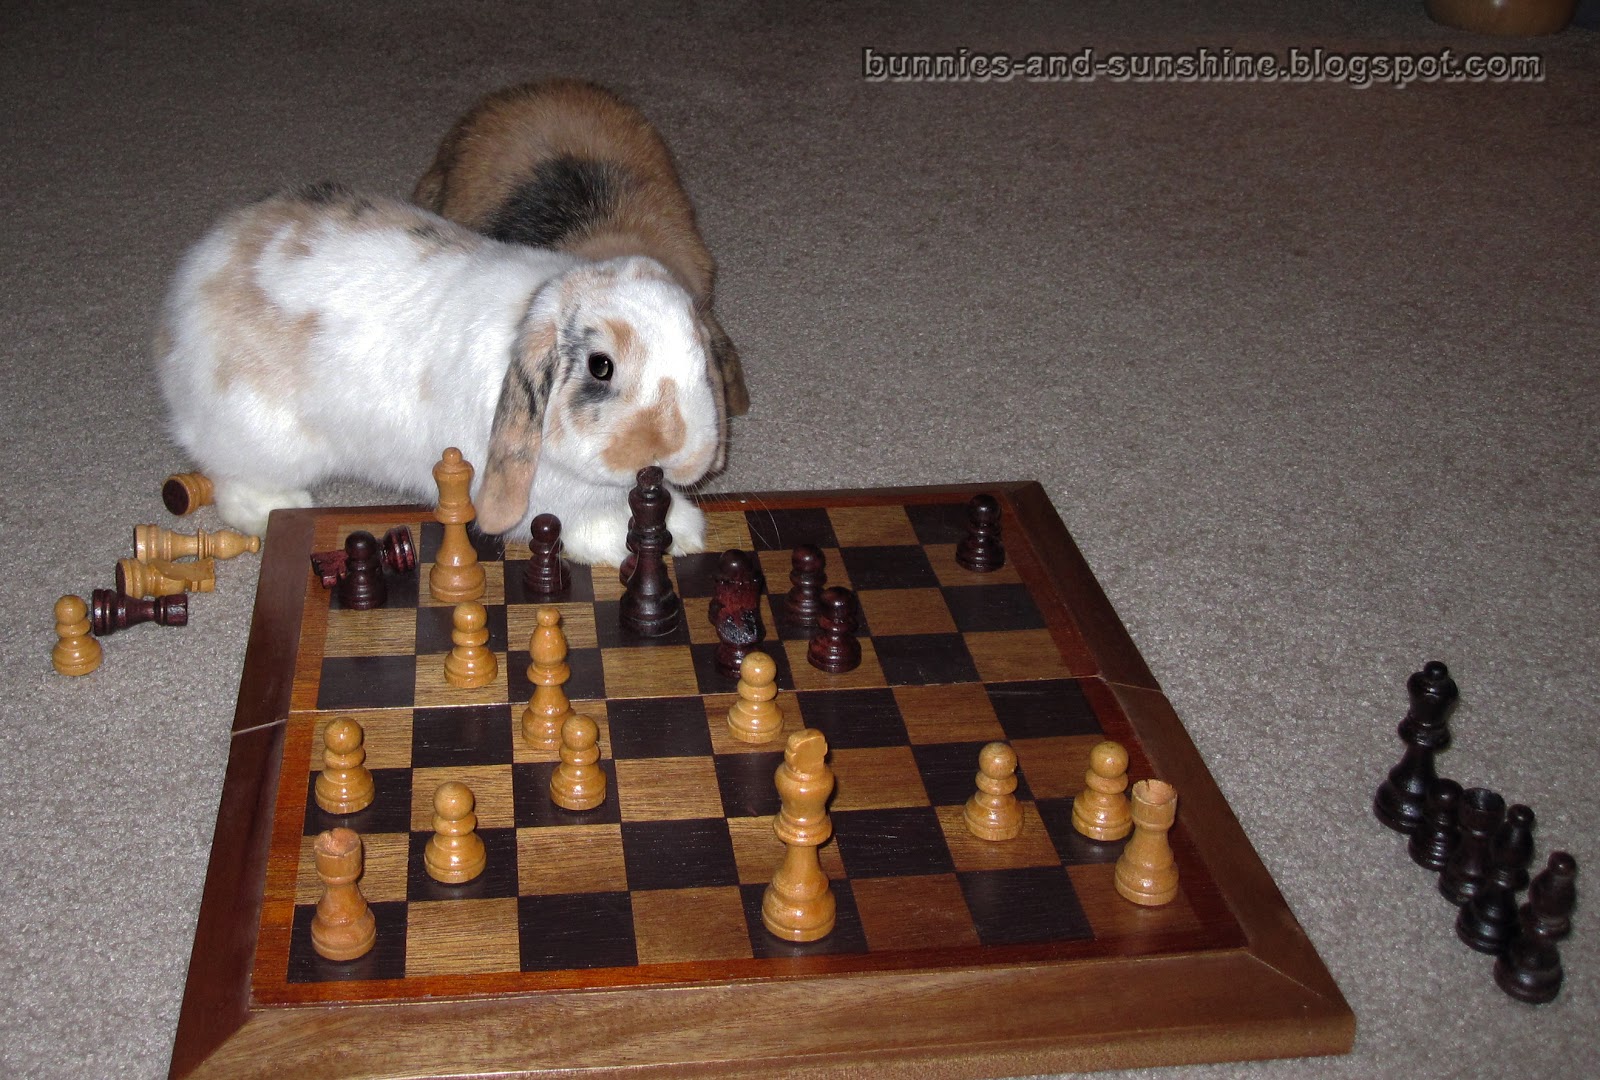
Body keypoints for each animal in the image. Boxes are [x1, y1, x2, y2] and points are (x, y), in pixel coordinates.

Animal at [155, 182, 726, 565]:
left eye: (700, 358)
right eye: (600, 366)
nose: (677, 449)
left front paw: (686, 530)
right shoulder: (557, 500)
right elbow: (596, 521)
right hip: (263, 440)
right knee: (234, 483)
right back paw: (280, 507)